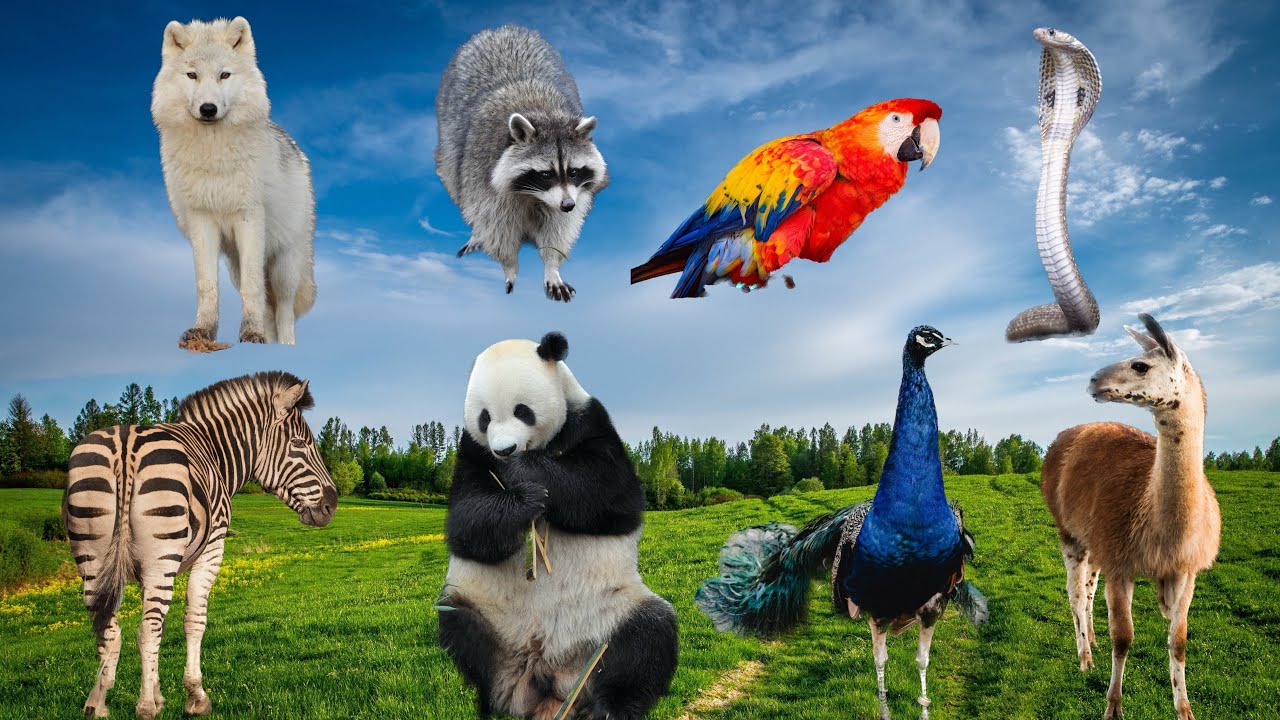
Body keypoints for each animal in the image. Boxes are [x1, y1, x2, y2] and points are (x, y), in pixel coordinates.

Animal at [63, 370, 337, 720]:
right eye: (300, 444)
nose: (332, 505)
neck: (216, 452)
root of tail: (125, 446)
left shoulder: (145, 569)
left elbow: (162, 626)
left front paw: (159, 694)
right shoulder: (212, 548)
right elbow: (194, 619)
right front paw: (194, 696)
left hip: (93, 556)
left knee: (107, 627)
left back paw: (97, 705)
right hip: (160, 554)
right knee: (146, 627)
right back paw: (145, 707)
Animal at [438, 331, 679, 720]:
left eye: (522, 410)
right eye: (485, 417)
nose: (505, 450)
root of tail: (544, 670)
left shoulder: (589, 421)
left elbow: (613, 494)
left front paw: (528, 473)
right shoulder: (472, 450)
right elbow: (466, 525)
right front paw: (523, 501)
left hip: (608, 615)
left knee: (647, 638)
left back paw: (609, 708)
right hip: (481, 610)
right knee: (459, 633)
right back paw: (476, 700)